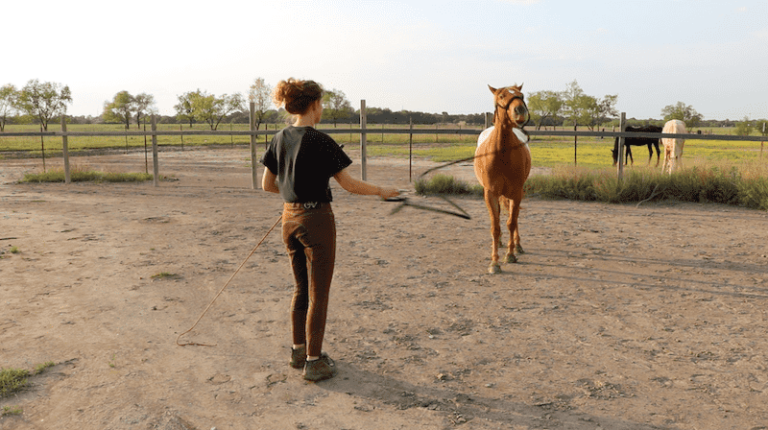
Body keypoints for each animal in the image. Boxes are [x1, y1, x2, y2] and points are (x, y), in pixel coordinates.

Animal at [474, 84, 532, 274]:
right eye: (501, 96)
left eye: (521, 95)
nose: (520, 111)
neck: (501, 153)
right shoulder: (490, 193)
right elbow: (496, 226)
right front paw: (494, 263)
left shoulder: (516, 193)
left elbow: (511, 223)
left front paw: (510, 254)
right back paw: (499, 244)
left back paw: (517, 245)